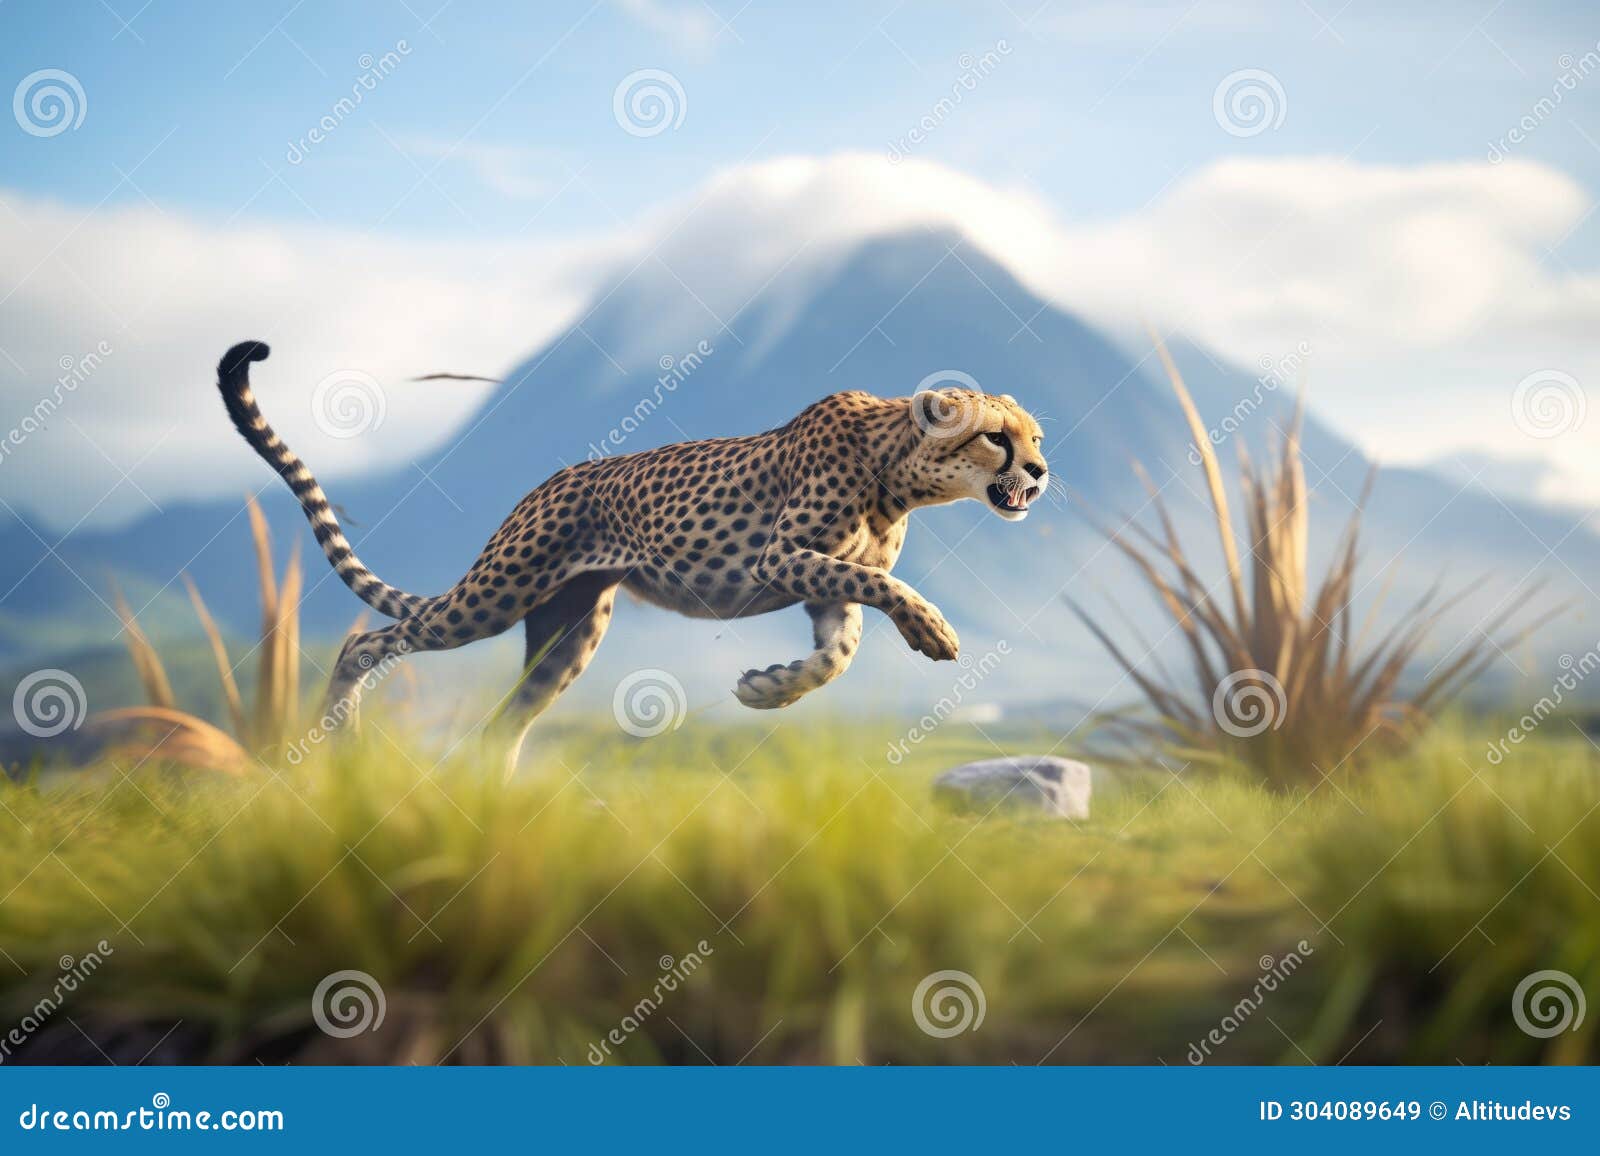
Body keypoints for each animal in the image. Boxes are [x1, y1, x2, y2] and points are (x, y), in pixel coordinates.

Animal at [215, 341, 1050, 767]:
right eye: (995, 437)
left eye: (1035, 435)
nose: (1041, 472)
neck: (899, 471)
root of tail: (545, 483)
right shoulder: (781, 559)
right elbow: (888, 590)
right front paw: (933, 629)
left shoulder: (825, 592)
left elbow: (835, 657)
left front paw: (767, 689)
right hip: (492, 598)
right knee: (371, 639)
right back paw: (342, 736)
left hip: (570, 632)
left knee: (501, 726)